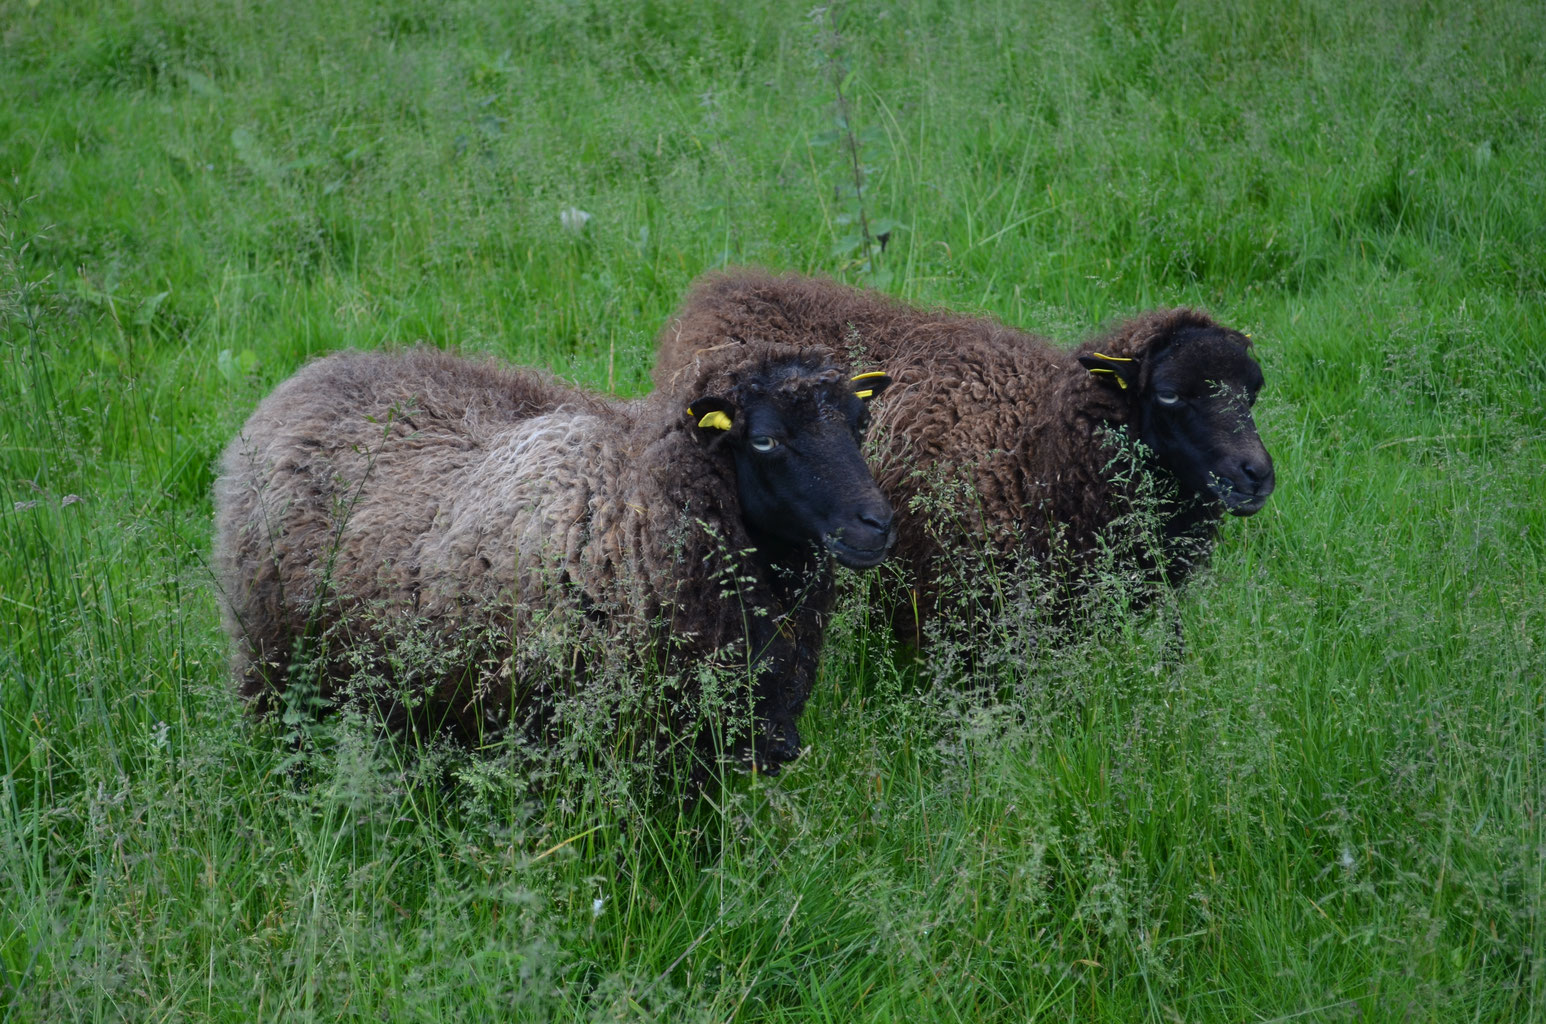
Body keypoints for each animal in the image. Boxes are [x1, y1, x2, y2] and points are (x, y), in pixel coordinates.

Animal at [214, 340, 896, 773]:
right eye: (765, 440)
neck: (635, 506)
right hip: (276, 661)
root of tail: (307, 377)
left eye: (860, 425)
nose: (876, 526)